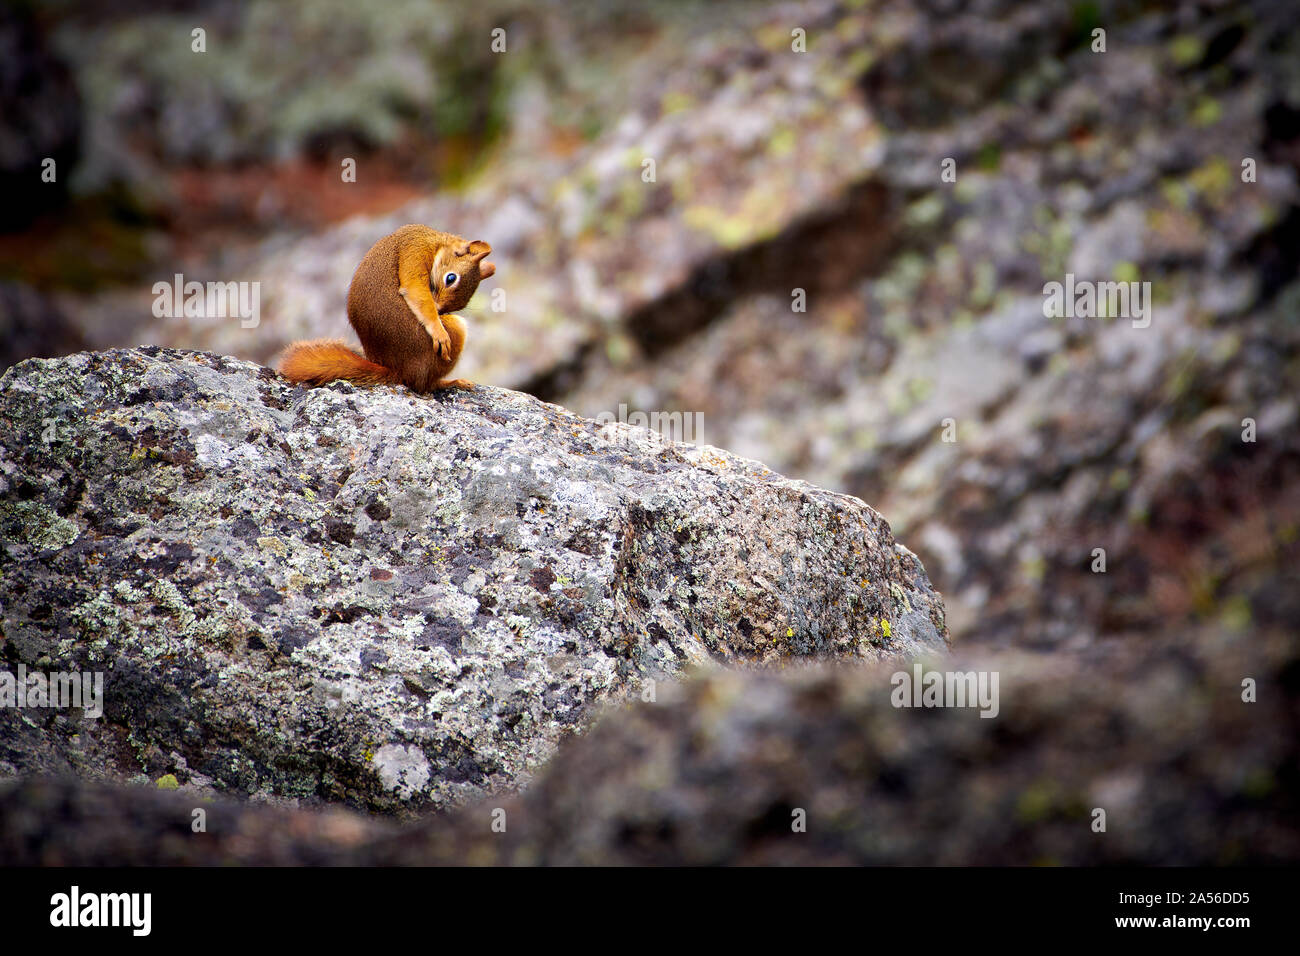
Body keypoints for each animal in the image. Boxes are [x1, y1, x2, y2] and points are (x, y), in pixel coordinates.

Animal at [278, 224, 495, 393]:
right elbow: (415, 290)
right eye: (450, 278)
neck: (435, 241)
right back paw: (449, 382)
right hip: (453, 333)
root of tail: (395, 370)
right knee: (422, 385)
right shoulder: (414, 250)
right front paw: (438, 331)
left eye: (462, 305)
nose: (440, 311)